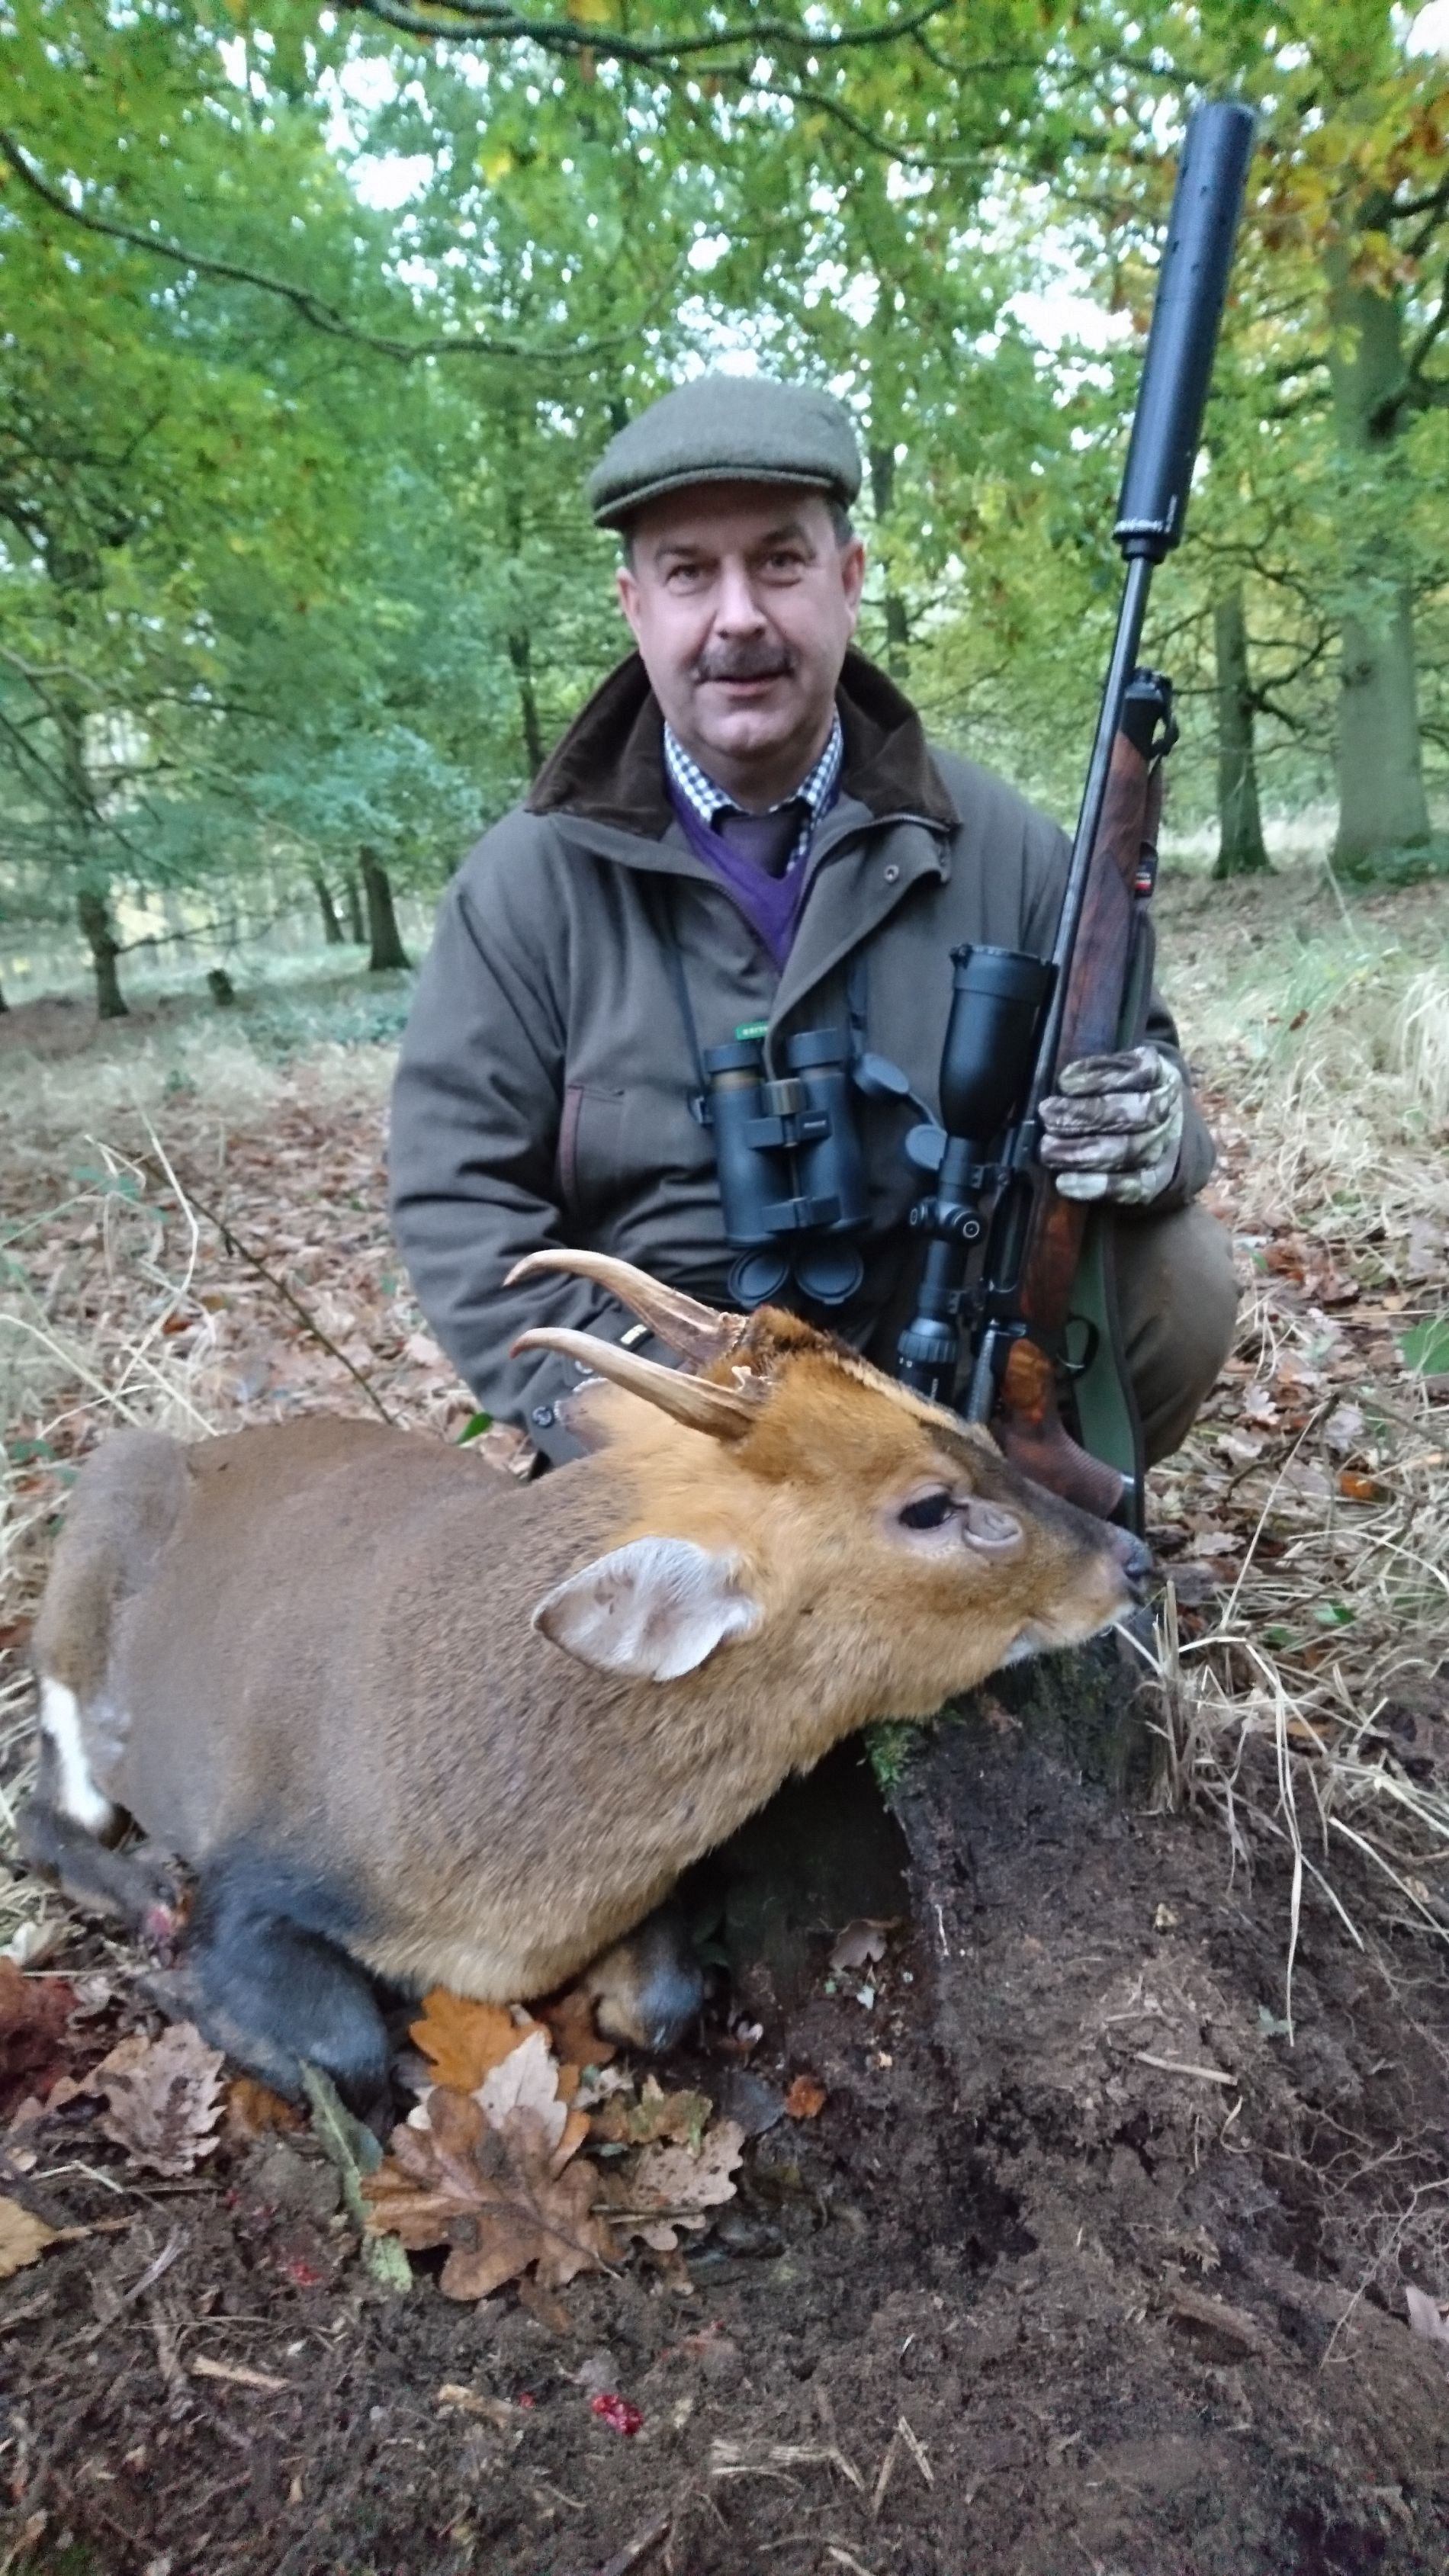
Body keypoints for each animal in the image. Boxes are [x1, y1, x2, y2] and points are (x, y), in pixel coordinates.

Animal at [20, 1249, 1149, 2100]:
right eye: (928, 1505)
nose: (1129, 1558)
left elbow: (665, 2002)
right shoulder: (260, 1870)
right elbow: (346, 2050)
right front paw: (185, 1992)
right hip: (85, 1555)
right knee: (46, 1803)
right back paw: (144, 1892)